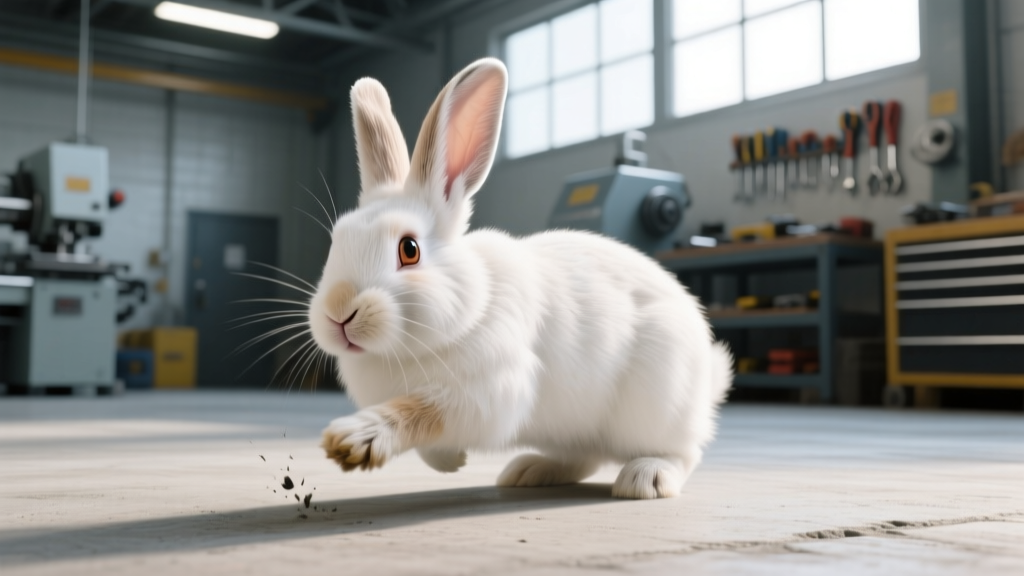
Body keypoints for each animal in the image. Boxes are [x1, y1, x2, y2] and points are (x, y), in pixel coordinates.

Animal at [310, 57, 733, 499]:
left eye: (409, 250)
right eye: (336, 241)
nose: (339, 313)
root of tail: (707, 378)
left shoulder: (485, 393)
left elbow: (419, 412)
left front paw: (355, 438)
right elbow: (429, 444)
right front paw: (450, 461)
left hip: (658, 403)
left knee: (683, 452)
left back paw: (645, 478)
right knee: (585, 456)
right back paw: (531, 470)